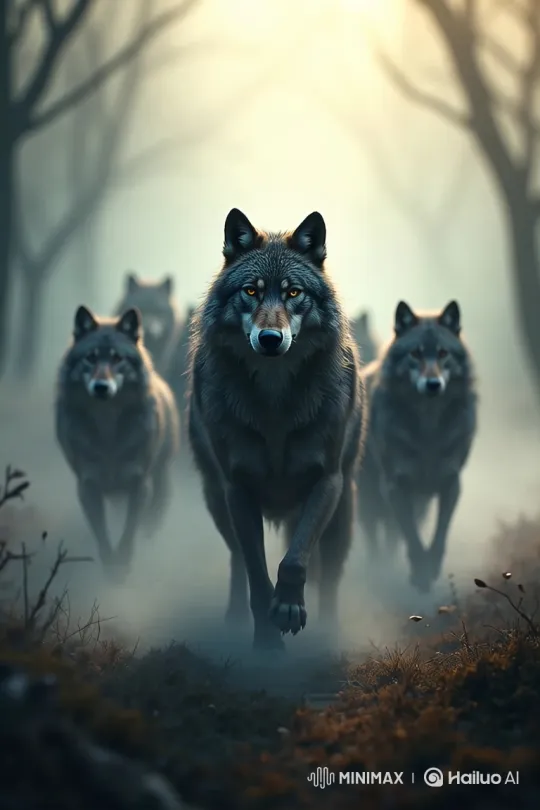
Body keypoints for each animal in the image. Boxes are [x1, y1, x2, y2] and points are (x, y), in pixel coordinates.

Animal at [55, 305, 179, 576]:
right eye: (91, 358)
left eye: (117, 359)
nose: (101, 386)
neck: (108, 432)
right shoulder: (87, 485)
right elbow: (101, 530)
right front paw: (110, 564)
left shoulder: (138, 482)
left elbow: (130, 528)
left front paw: (122, 561)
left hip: (161, 468)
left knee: (160, 498)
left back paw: (151, 525)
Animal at [187, 208, 366, 649]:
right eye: (251, 291)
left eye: (293, 293)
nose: (270, 338)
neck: (275, 405)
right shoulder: (237, 488)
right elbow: (256, 574)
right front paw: (267, 645)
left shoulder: (328, 482)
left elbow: (295, 560)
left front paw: (288, 607)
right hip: (216, 500)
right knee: (236, 559)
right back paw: (233, 621)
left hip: (344, 512)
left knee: (329, 577)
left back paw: (329, 633)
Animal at [356, 300, 477, 592]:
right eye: (415, 354)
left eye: (443, 353)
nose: (433, 384)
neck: (428, 431)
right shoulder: (395, 485)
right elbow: (409, 533)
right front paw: (420, 572)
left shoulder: (450, 482)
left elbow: (439, 532)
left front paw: (430, 567)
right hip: (368, 496)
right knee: (374, 533)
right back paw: (377, 568)